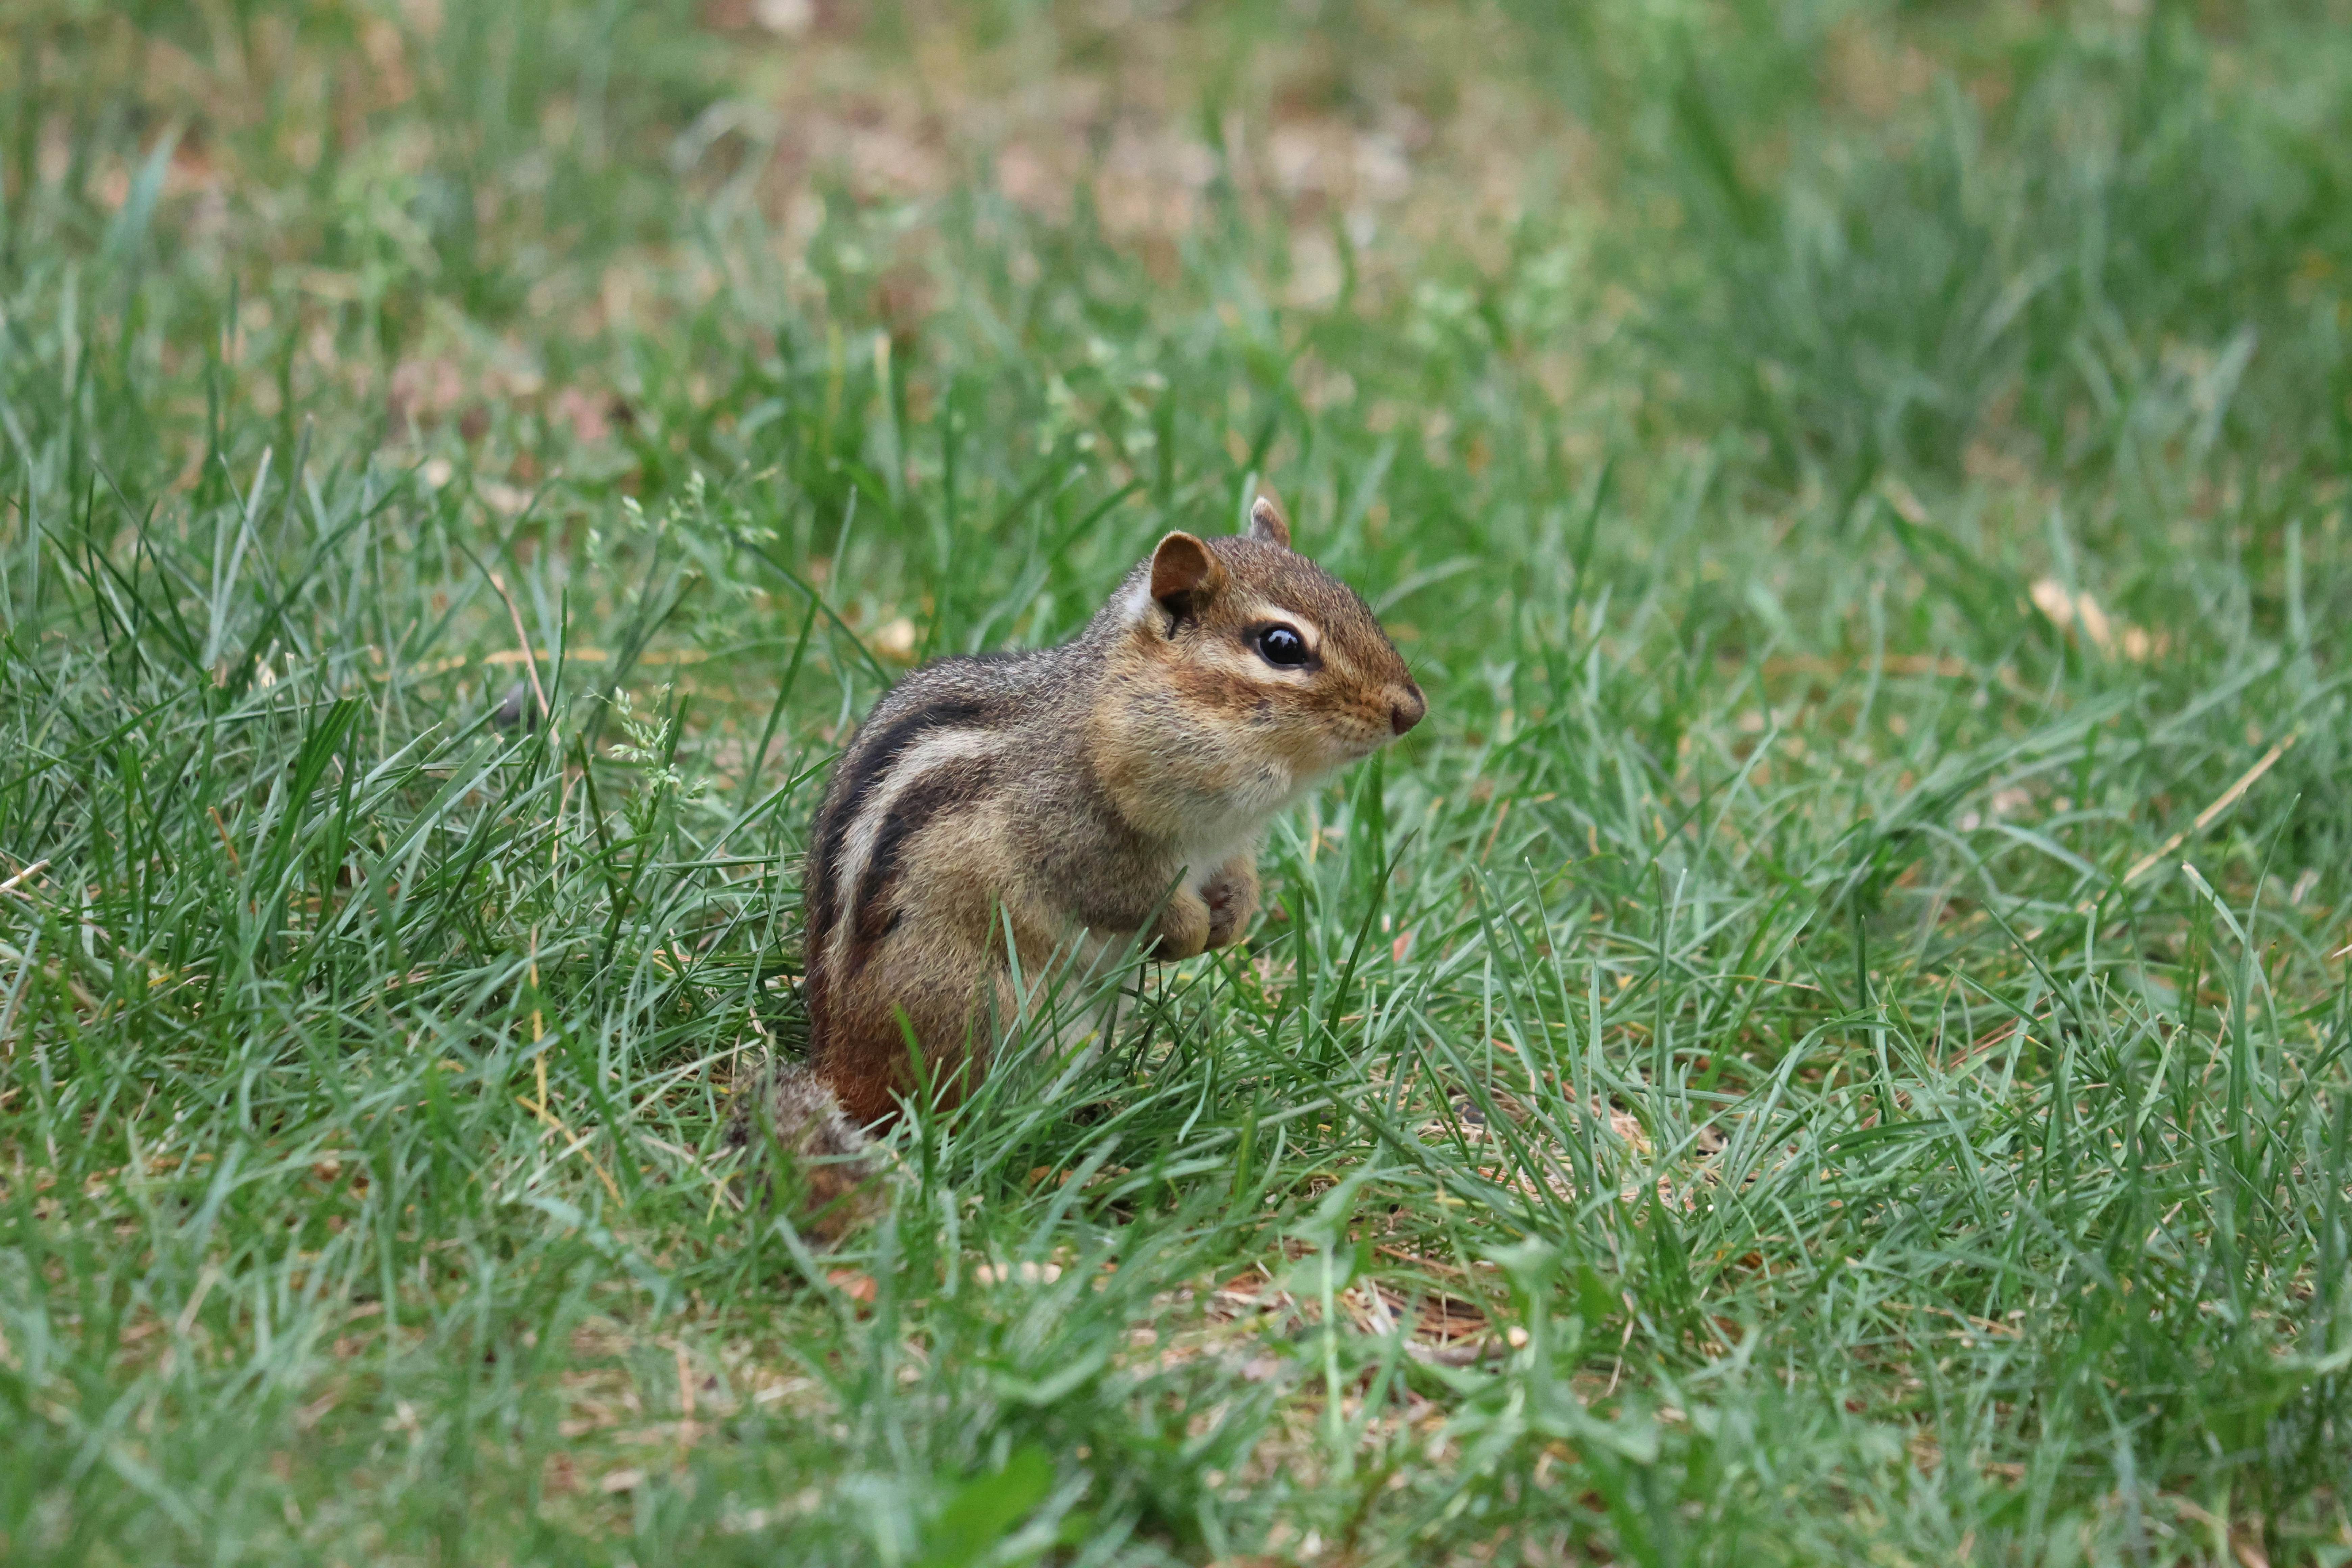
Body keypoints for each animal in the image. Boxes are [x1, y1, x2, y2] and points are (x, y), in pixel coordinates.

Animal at [726, 493, 1425, 1238]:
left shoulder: (1230, 841)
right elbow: (1124, 893)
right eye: (1282, 645)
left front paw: (1235, 914)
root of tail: (835, 1066)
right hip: (995, 1012)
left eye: (1354, 601)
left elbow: (1237, 874)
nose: (1411, 710)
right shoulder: (1071, 836)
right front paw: (1186, 930)